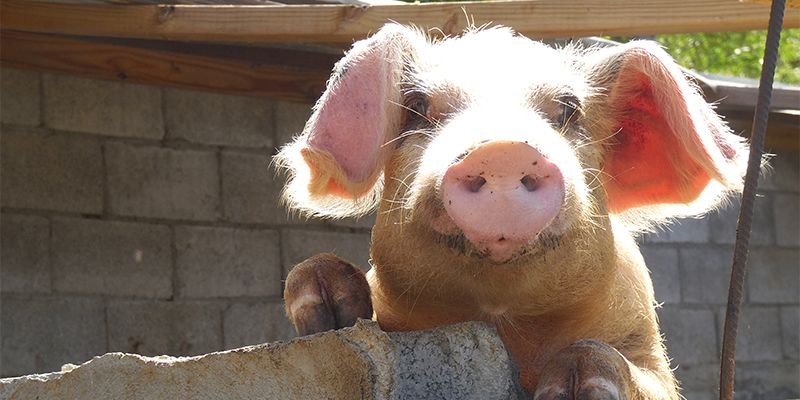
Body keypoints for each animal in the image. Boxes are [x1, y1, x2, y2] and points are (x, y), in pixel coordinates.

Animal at [277, 24, 747, 399]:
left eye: (569, 109)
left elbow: (645, 376)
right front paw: (326, 302)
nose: (502, 149)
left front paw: (575, 386)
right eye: (417, 108)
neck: (504, 322)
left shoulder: (645, 339)